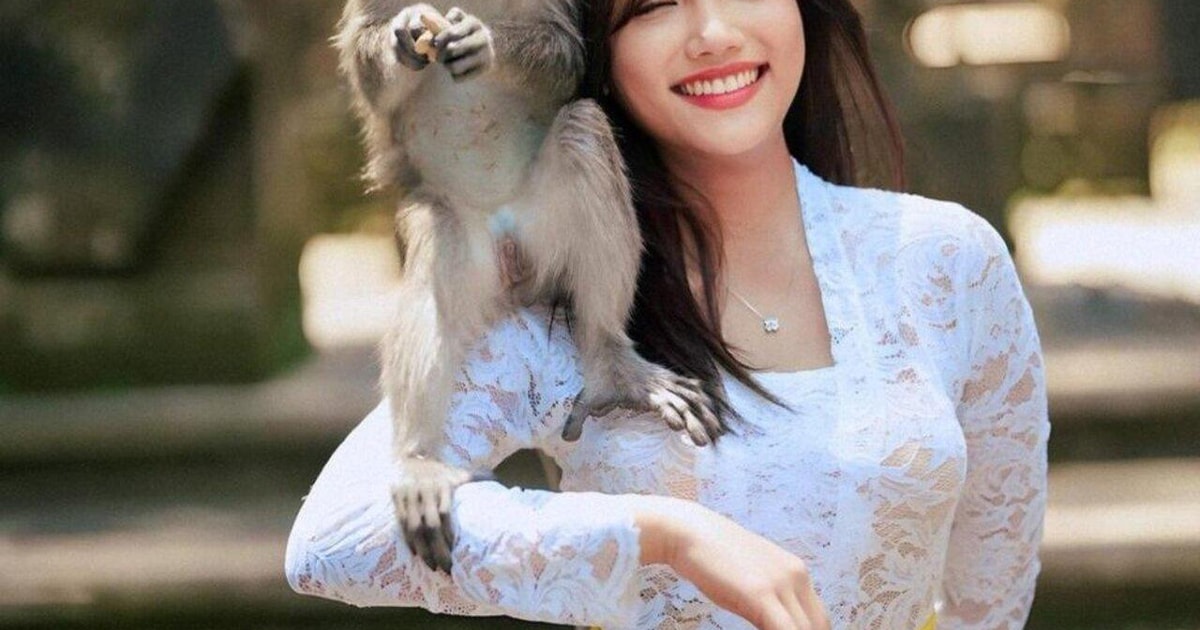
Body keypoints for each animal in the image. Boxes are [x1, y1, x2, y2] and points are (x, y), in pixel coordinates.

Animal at [335, 0, 724, 572]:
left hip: (546, 231)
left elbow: (566, 49)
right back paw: (419, 459)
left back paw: (613, 364)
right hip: (475, 245)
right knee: (438, 233)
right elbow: (366, 64)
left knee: (584, 128)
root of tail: (511, 250)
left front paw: (485, 43)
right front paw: (401, 37)